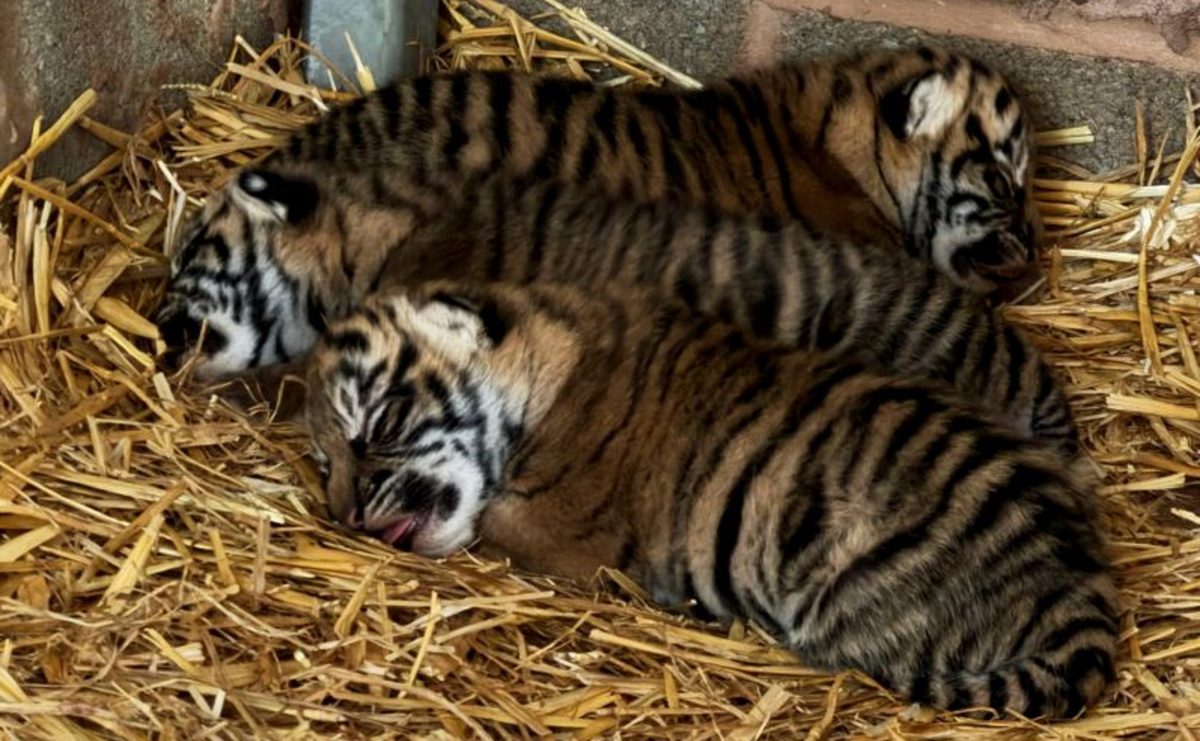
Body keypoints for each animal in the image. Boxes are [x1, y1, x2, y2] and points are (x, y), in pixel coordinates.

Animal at [304, 279, 1117, 719]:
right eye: (323, 462)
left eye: (377, 425)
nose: (349, 516)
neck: (551, 352)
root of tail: (1080, 599)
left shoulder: (559, 530)